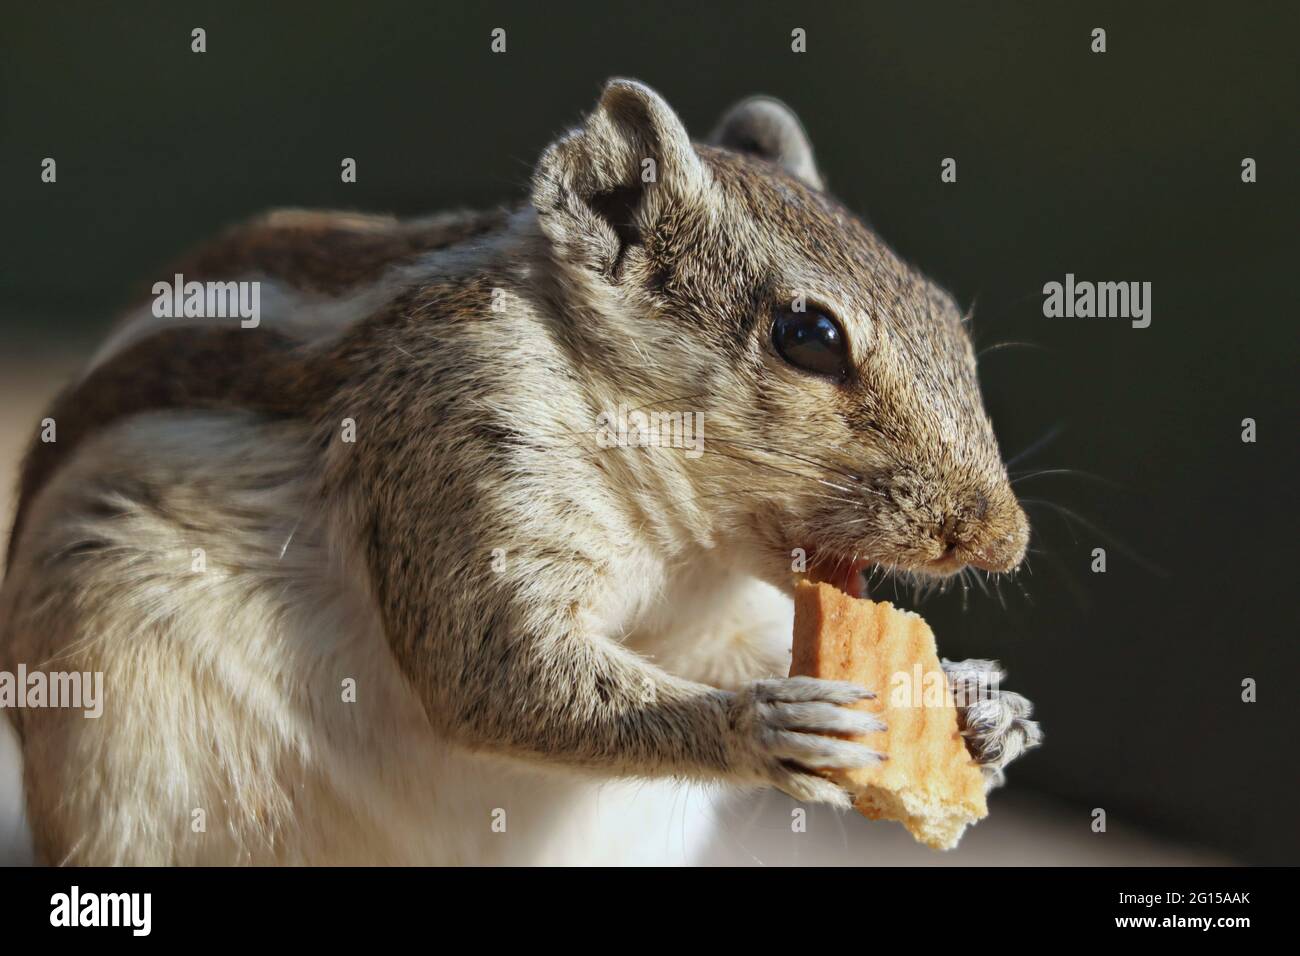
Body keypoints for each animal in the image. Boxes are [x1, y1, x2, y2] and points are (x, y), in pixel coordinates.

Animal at [0, 80, 1040, 864]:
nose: (1004, 540)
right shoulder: (456, 445)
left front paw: (982, 707)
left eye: (948, 318)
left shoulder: (705, 614)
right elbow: (496, 676)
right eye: (810, 336)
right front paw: (768, 728)